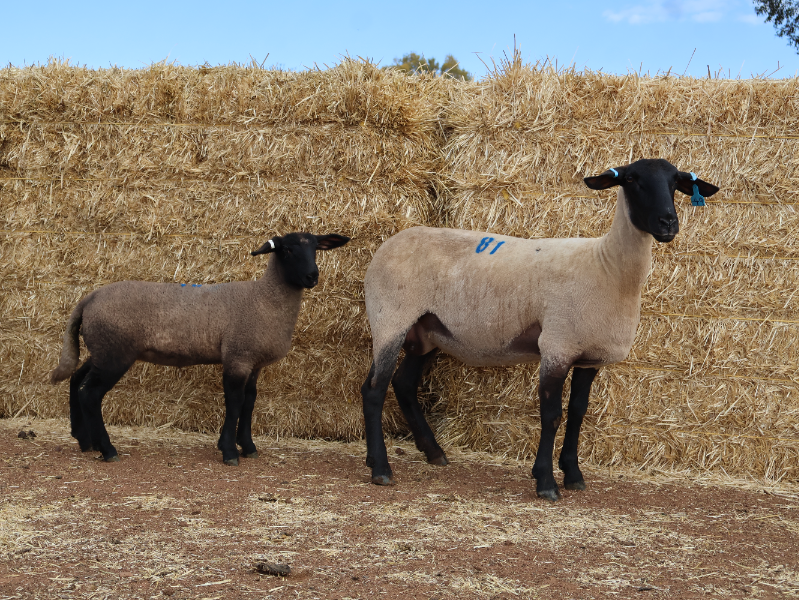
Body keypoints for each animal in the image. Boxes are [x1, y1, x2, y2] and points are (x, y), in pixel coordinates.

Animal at [50, 232, 350, 465]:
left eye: (315, 248)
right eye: (287, 249)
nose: (312, 276)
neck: (264, 298)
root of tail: (89, 299)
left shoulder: (253, 362)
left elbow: (250, 401)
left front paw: (248, 446)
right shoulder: (237, 356)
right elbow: (234, 402)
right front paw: (229, 451)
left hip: (101, 350)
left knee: (76, 379)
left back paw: (84, 440)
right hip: (115, 353)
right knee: (90, 394)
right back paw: (107, 449)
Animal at [360, 158, 719, 500]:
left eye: (675, 182)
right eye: (631, 180)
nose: (668, 224)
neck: (606, 265)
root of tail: (391, 241)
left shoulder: (589, 357)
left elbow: (577, 413)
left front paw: (573, 475)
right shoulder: (557, 346)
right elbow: (552, 415)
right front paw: (546, 482)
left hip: (427, 333)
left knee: (404, 384)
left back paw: (432, 452)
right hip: (390, 319)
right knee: (375, 390)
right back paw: (381, 468)